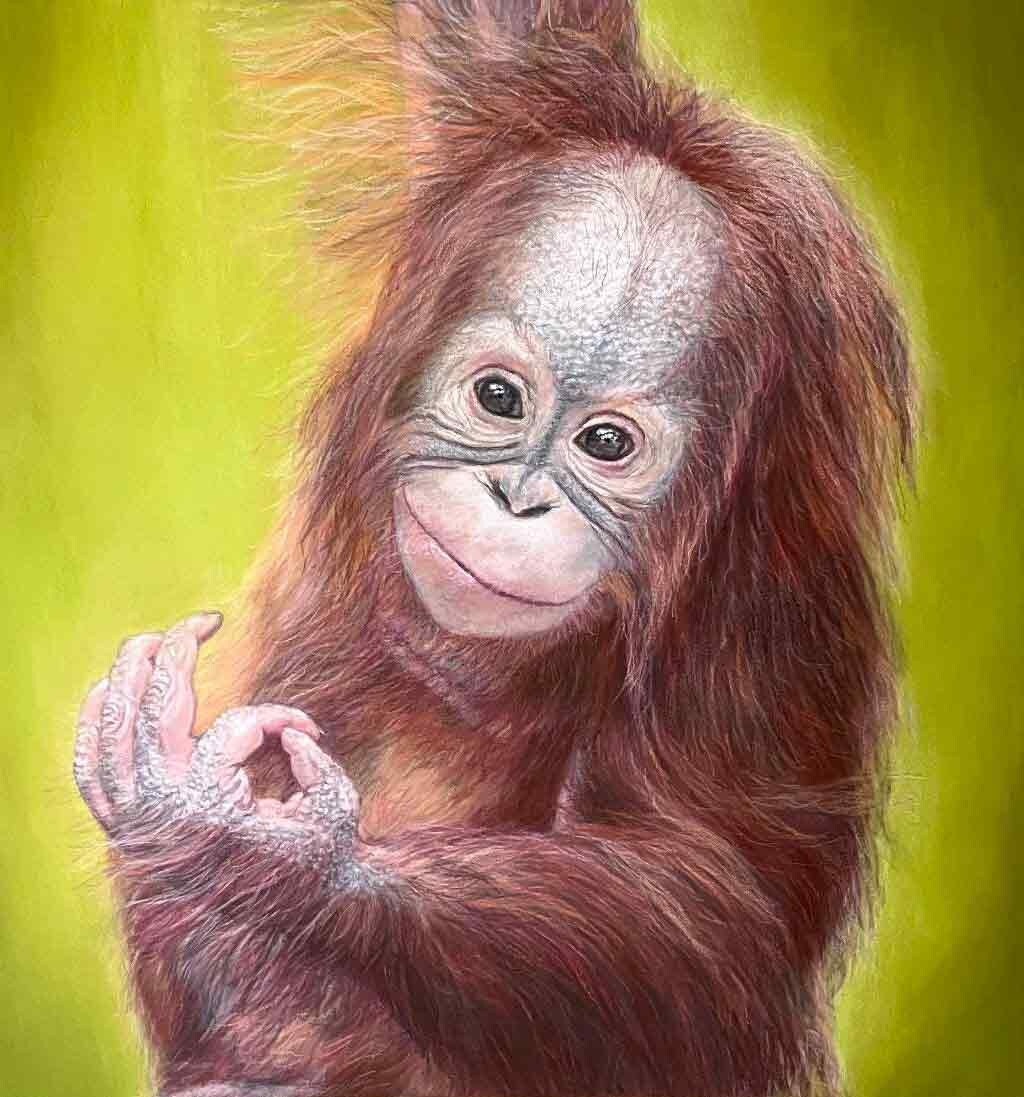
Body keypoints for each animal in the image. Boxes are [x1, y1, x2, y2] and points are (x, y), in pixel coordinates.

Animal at [72, 2, 915, 1096]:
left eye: (607, 445)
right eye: (499, 397)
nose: (516, 499)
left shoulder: (766, 607)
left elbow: (714, 902)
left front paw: (270, 852)